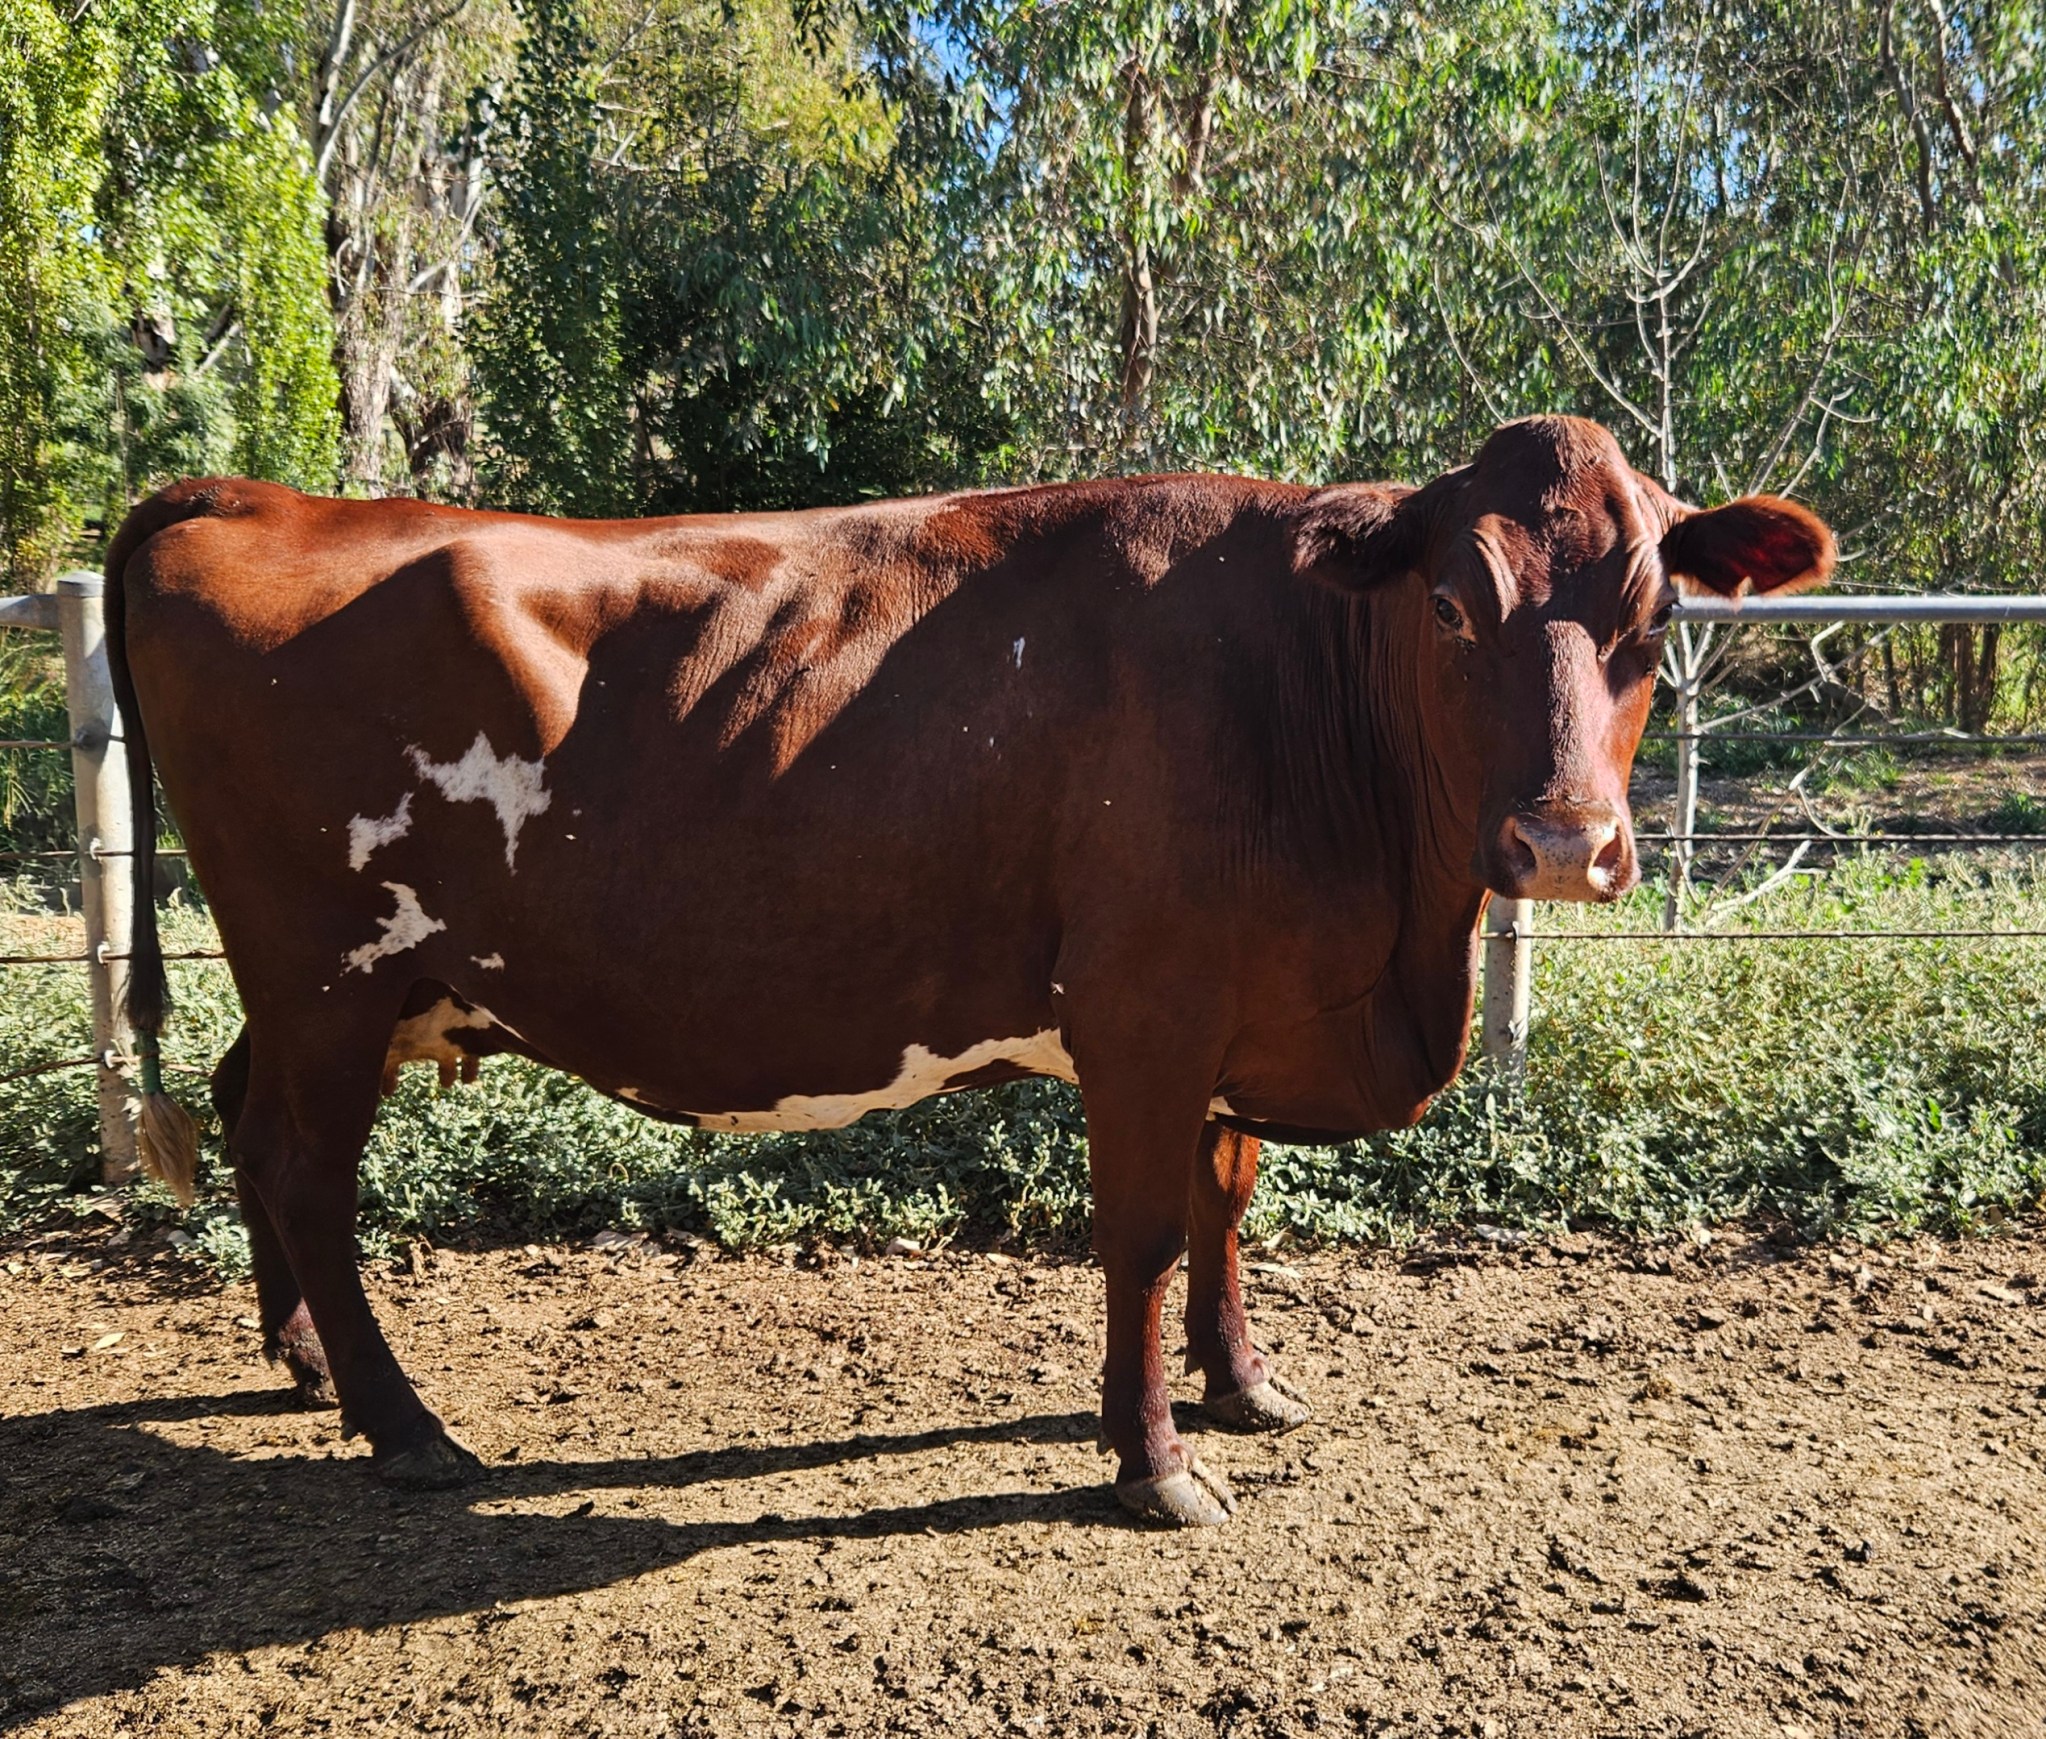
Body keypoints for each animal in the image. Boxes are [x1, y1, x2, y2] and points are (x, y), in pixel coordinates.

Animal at [104, 416, 1832, 1526]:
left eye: (1653, 611)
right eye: (1457, 601)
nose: (1563, 842)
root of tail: (259, 496)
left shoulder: (1234, 1011)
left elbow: (1226, 1202)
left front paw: (1239, 1385)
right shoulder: (1141, 1009)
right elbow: (1143, 1231)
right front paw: (1153, 1461)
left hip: (323, 992)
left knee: (247, 1117)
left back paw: (304, 1364)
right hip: (331, 967)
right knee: (301, 1166)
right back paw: (403, 1426)